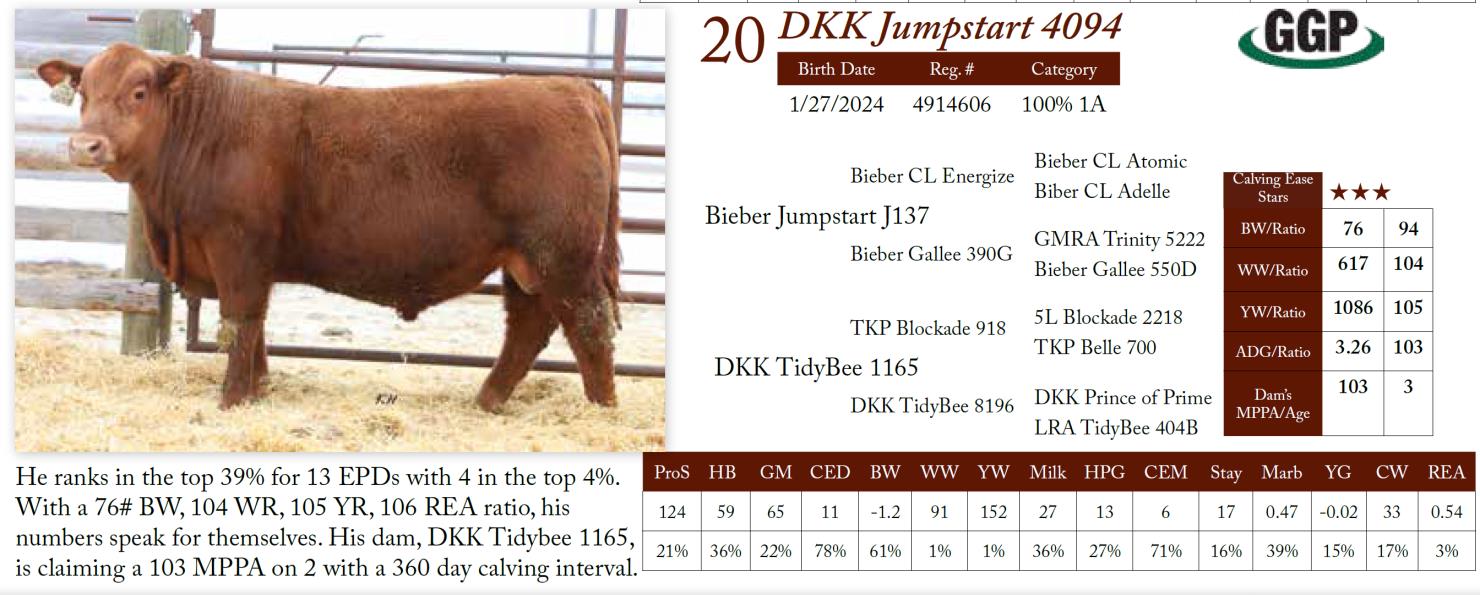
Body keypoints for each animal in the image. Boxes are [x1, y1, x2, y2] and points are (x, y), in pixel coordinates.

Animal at [37, 43, 624, 410]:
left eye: (138, 92)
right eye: (83, 92)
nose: (85, 146)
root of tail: (572, 89)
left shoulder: (238, 248)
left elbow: (240, 321)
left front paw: (231, 398)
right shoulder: (254, 260)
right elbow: (257, 328)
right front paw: (259, 391)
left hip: (561, 252)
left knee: (588, 323)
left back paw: (601, 408)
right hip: (523, 260)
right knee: (528, 326)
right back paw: (486, 400)